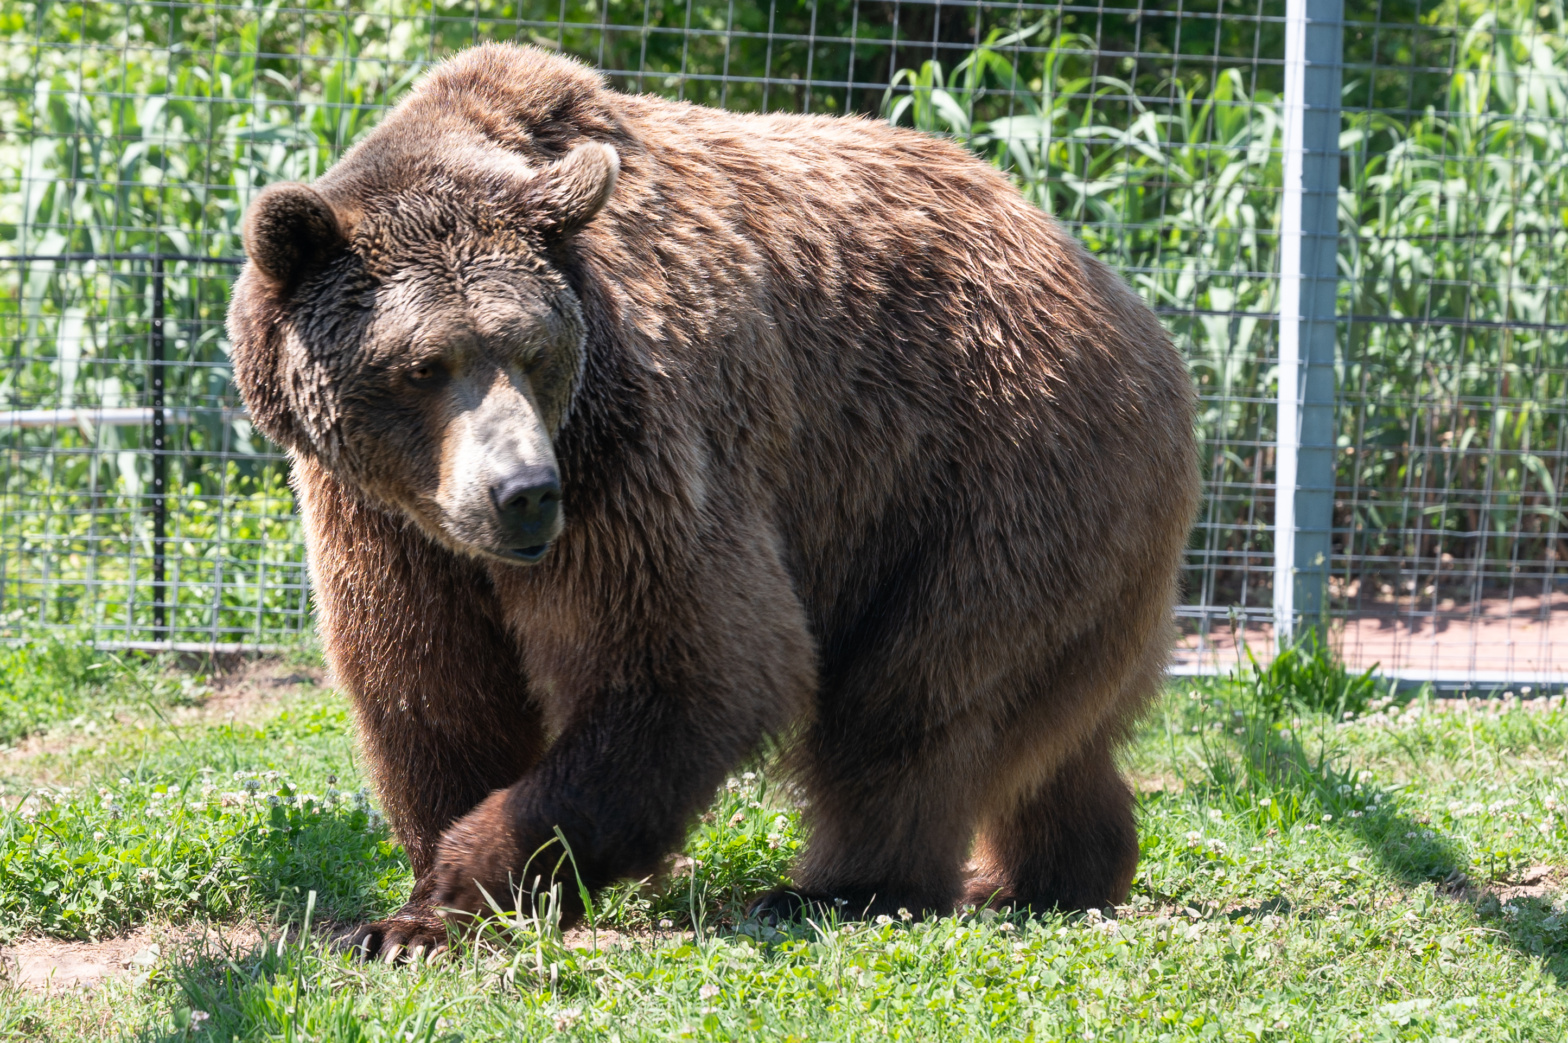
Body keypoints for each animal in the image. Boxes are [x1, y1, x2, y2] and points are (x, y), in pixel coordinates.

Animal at [227, 42, 1200, 958]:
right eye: (424, 364)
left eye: (534, 351)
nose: (524, 493)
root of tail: (1123, 298)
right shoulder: (381, 517)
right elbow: (431, 685)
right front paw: (419, 897)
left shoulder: (633, 442)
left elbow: (690, 660)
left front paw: (456, 892)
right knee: (1047, 730)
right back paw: (1059, 870)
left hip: (990, 468)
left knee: (911, 700)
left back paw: (844, 886)